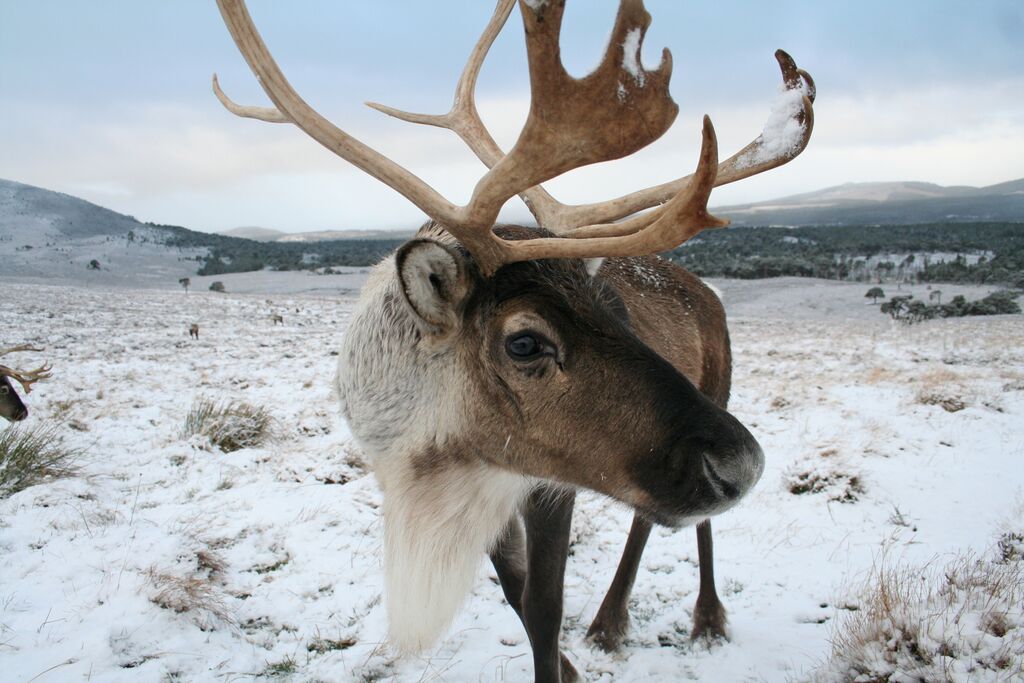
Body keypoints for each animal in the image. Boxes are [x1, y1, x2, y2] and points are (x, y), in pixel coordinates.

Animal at [213, 0, 814, 679]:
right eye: (524, 343)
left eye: (617, 311)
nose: (743, 463)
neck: (431, 459)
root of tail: (706, 290)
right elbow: (515, 592)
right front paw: (570, 666)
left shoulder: (546, 483)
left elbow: (544, 604)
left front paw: (562, 660)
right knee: (647, 517)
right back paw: (612, 621)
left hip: (720, 386)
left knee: (690, 524)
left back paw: (701, 618)